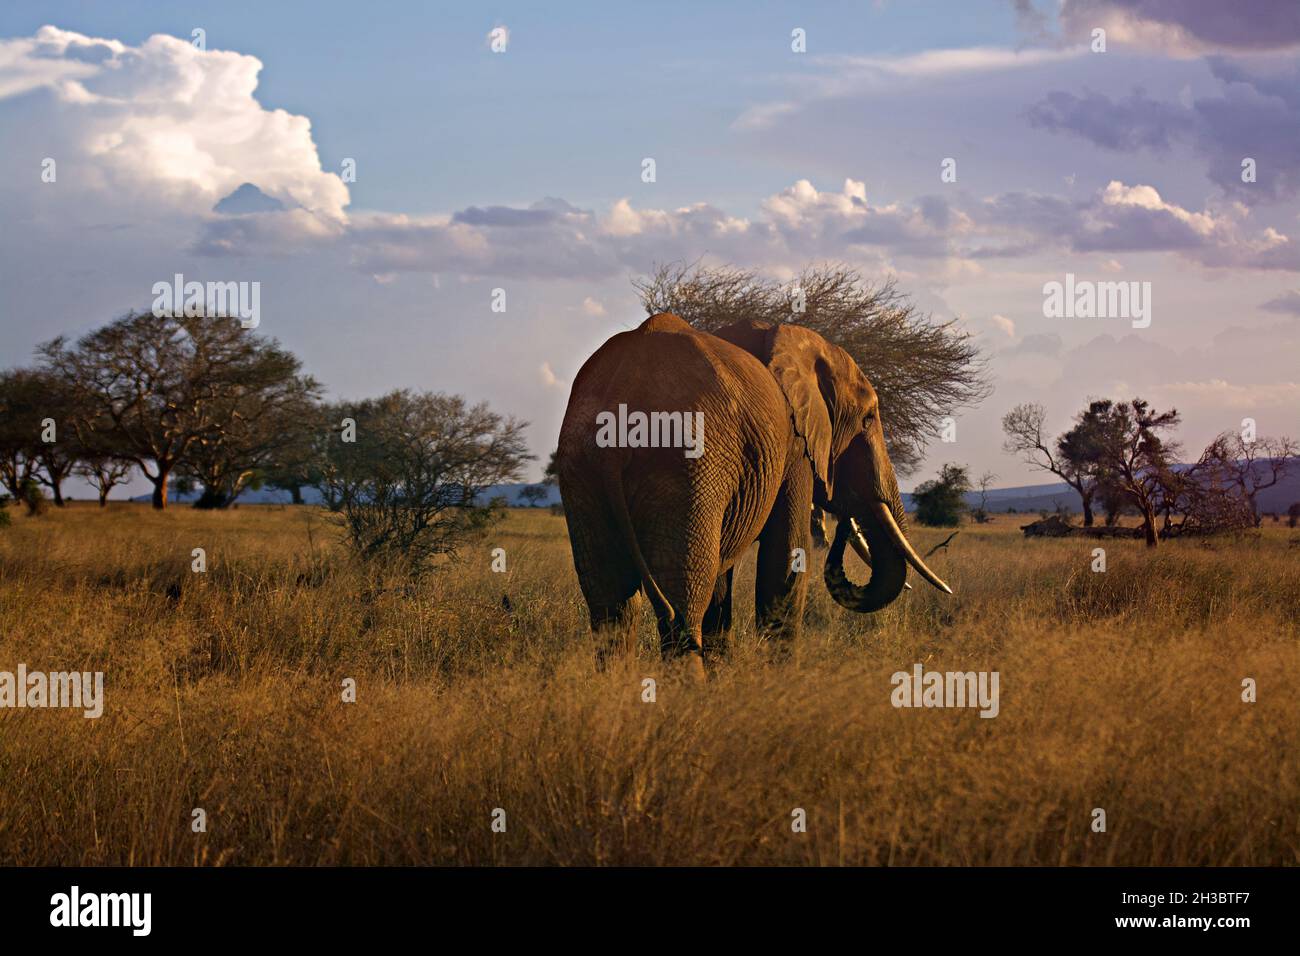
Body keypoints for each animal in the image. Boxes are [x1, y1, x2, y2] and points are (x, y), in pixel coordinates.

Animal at [556, 312, 951, 677]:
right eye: (868, 418)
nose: (845, 521)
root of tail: (619, 404)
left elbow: (724, 576)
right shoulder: (794, 444)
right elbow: (788, 556)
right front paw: (779, 683)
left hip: (582, 466)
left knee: (611, 597)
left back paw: (618, 692)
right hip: (682, 462)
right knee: (682, 592)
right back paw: (688, 696)